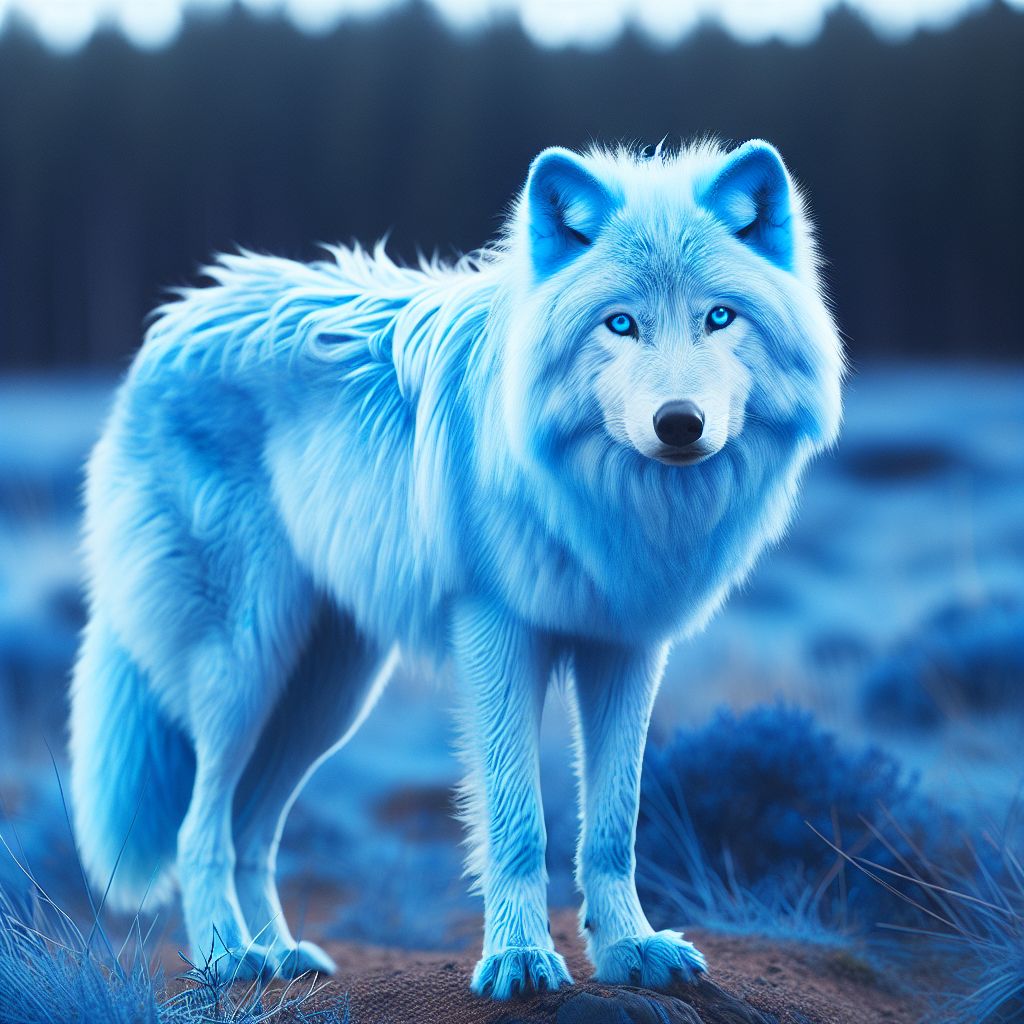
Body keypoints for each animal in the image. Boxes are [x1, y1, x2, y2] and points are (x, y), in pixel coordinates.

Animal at [69, 138, 842, 998]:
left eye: (719, 317)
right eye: (620, 323)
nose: (679, 424)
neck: (609, 501)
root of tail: (178, 318)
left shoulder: (629, 647)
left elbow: (613, 824)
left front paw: (630, 950)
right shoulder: (494, 631)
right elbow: (516, 819)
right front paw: (519, 959)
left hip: (324, 697)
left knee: (250, 830)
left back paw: (283, 955)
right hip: (242, 665)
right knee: (198, 829)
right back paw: (230, 959)